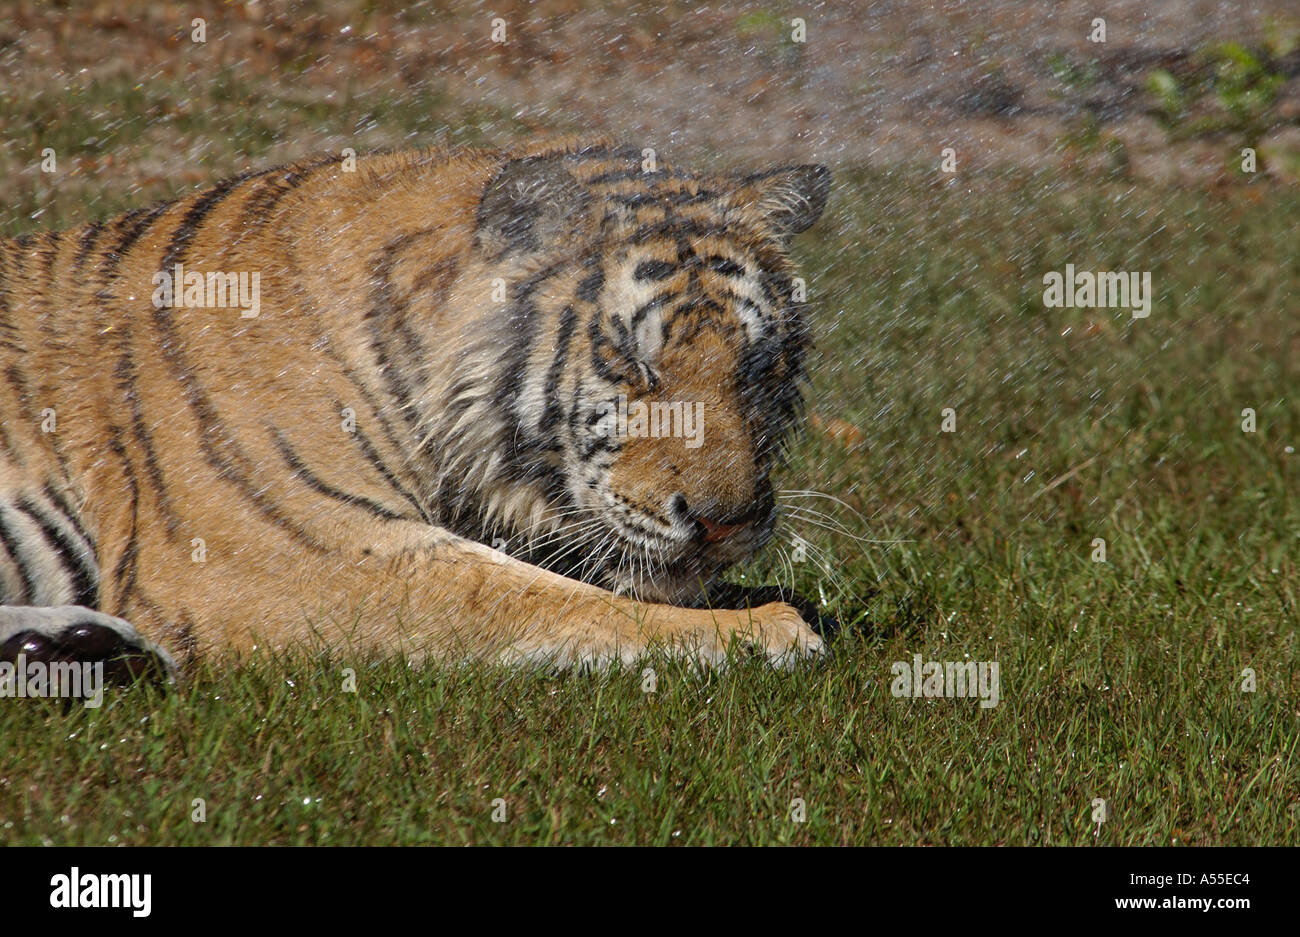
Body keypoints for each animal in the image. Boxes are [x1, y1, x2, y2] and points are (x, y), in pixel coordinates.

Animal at [0, 135, 831, 682]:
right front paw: (774, 628)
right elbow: (528, 598)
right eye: (633, 363)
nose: (726, 524)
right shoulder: (284, 557)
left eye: (757, 365)